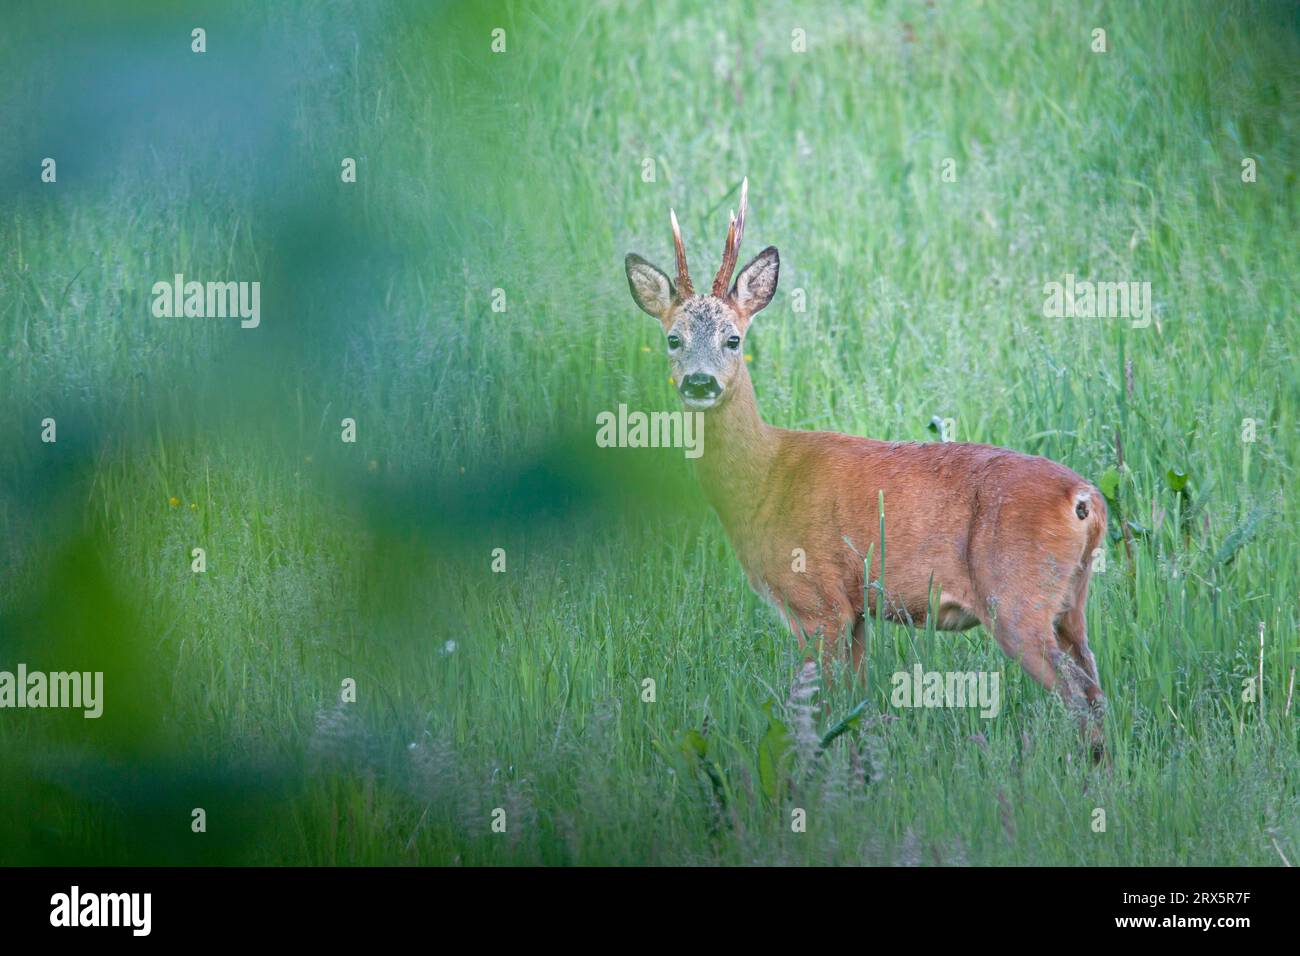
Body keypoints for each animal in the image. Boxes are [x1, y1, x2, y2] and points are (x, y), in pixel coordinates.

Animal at [625, 179, 1108, 761]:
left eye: (733, 339)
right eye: (673, 339)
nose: (700, 382)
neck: (764, 481)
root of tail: (1084, 499)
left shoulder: (818, 602)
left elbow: (816, 707)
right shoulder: (856, 610)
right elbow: (853, 705)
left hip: (1016, 600)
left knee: (1078, 695)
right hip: (1072, 605)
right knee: (1096, 687)